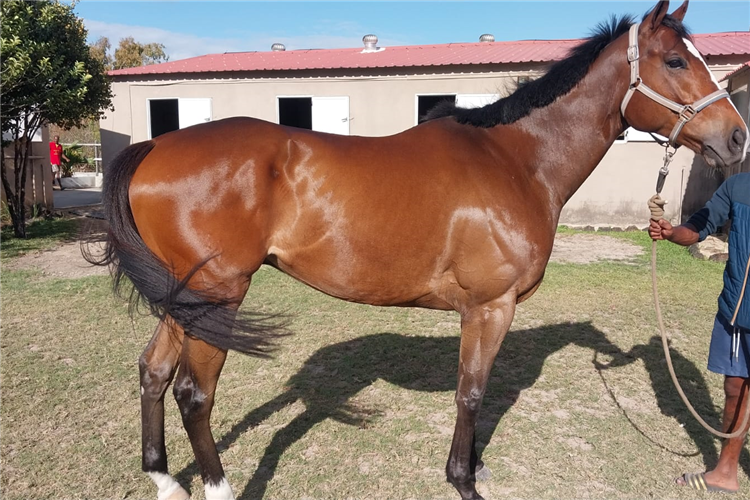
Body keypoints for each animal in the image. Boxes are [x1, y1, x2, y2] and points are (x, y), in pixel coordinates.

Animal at [94, 1, 748, 498]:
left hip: (182, 299)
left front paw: (475, 466)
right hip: (216, 297)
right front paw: (463, 480)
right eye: (674, 61)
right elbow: (472, 393)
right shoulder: (490, 308)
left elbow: (475, 393)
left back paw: (164, 480)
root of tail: (154, 149)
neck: (517, 161)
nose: (737, 137)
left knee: (153, 372)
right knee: (193, 394)